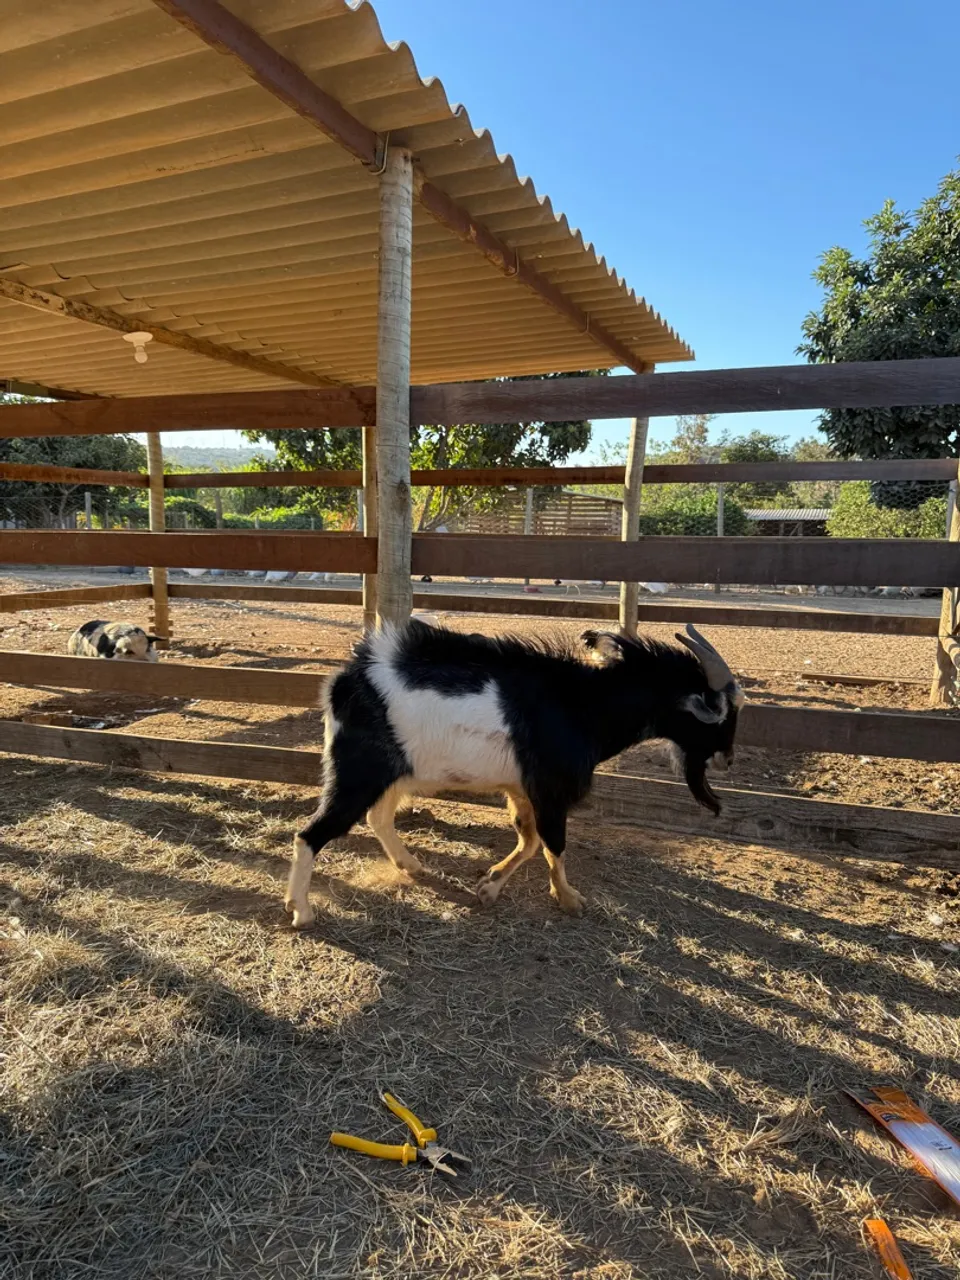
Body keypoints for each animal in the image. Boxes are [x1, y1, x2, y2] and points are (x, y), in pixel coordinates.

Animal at [286, 621, 743, 928]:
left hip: (394, 776)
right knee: (310, 834)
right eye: (723, 711)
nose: (728, 759)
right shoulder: (551, 789)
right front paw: (569, 899)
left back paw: (413, 867)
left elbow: (530, 840)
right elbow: (554, 845)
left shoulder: (522, 789)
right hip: (359, 773)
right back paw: (301, 911)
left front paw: (489, 885)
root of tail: (342, 684)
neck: (583, 707)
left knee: (377, 817)